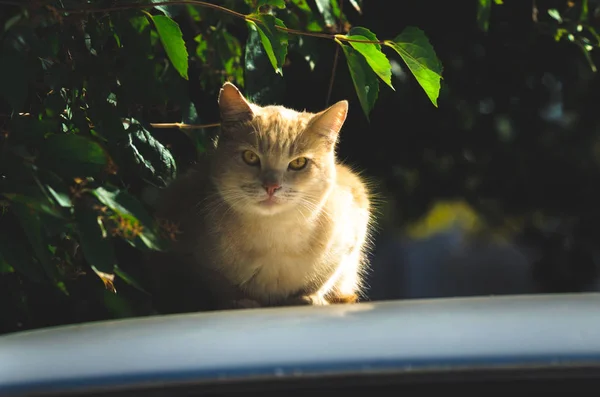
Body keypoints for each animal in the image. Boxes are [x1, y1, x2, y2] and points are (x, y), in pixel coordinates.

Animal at [148, 82, 372, 310]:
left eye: (299, 163)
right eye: (250, 157)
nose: (271, 186)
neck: (274, 236)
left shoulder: (352, 229)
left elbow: (325, 278)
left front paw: (308, 298)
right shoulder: (192, 254)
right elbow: (221, 285)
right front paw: (240, 302)